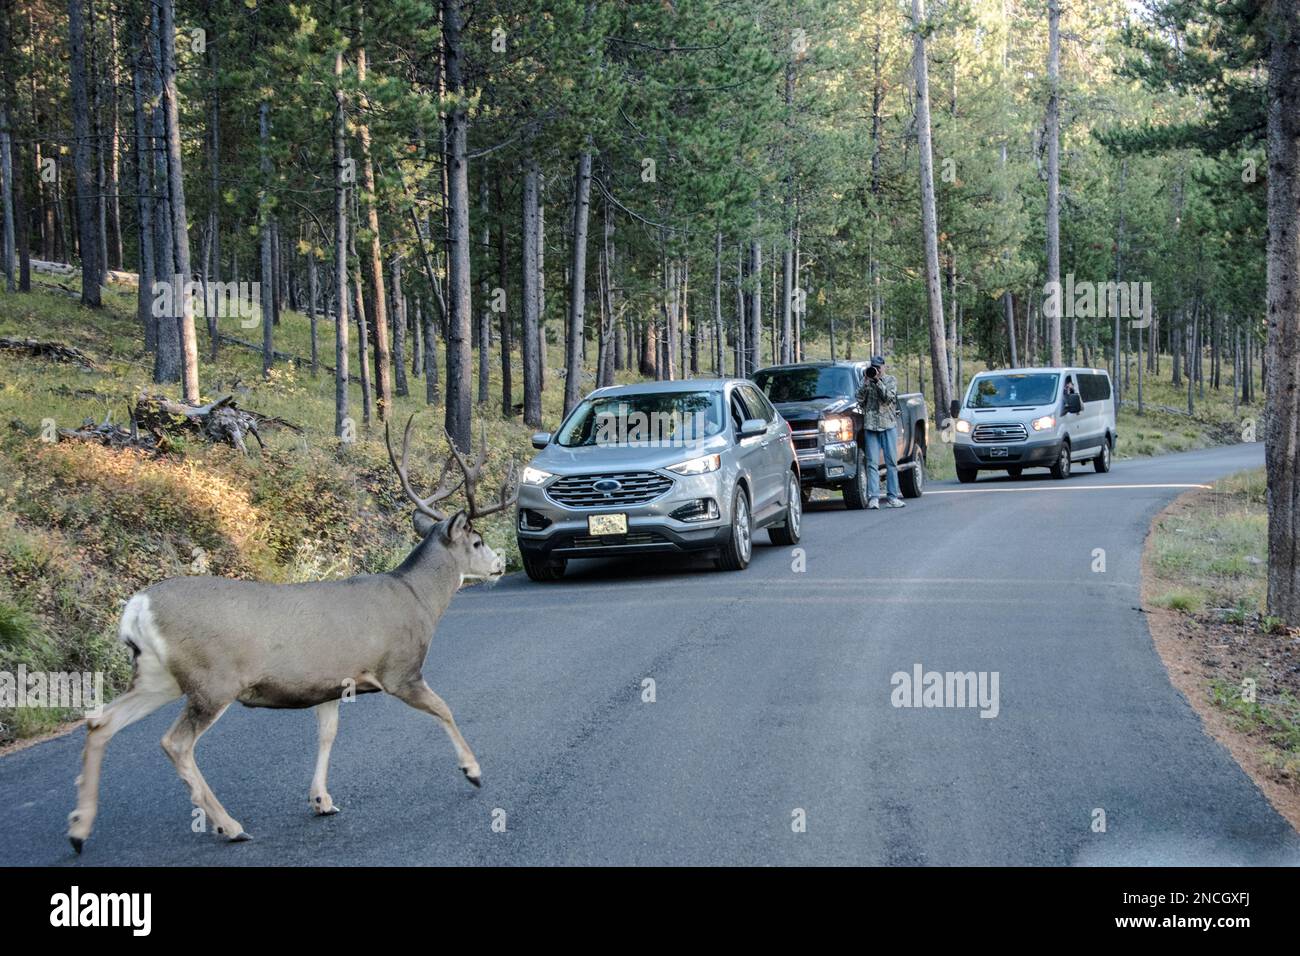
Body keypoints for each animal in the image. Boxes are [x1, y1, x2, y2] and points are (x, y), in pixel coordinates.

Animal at [66, 416, 517, 853]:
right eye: (477, 541)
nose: (499, 564)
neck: (417, 597)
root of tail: (138, 606)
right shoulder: (400, 669)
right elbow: (444, 708)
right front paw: (473, 770)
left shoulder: (331, 681)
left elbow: (327, 734)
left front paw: (322, 800)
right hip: (214, 679)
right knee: (175, 743)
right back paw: (230, 826)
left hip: (157, 675)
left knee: (100, 721)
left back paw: (79, 829)